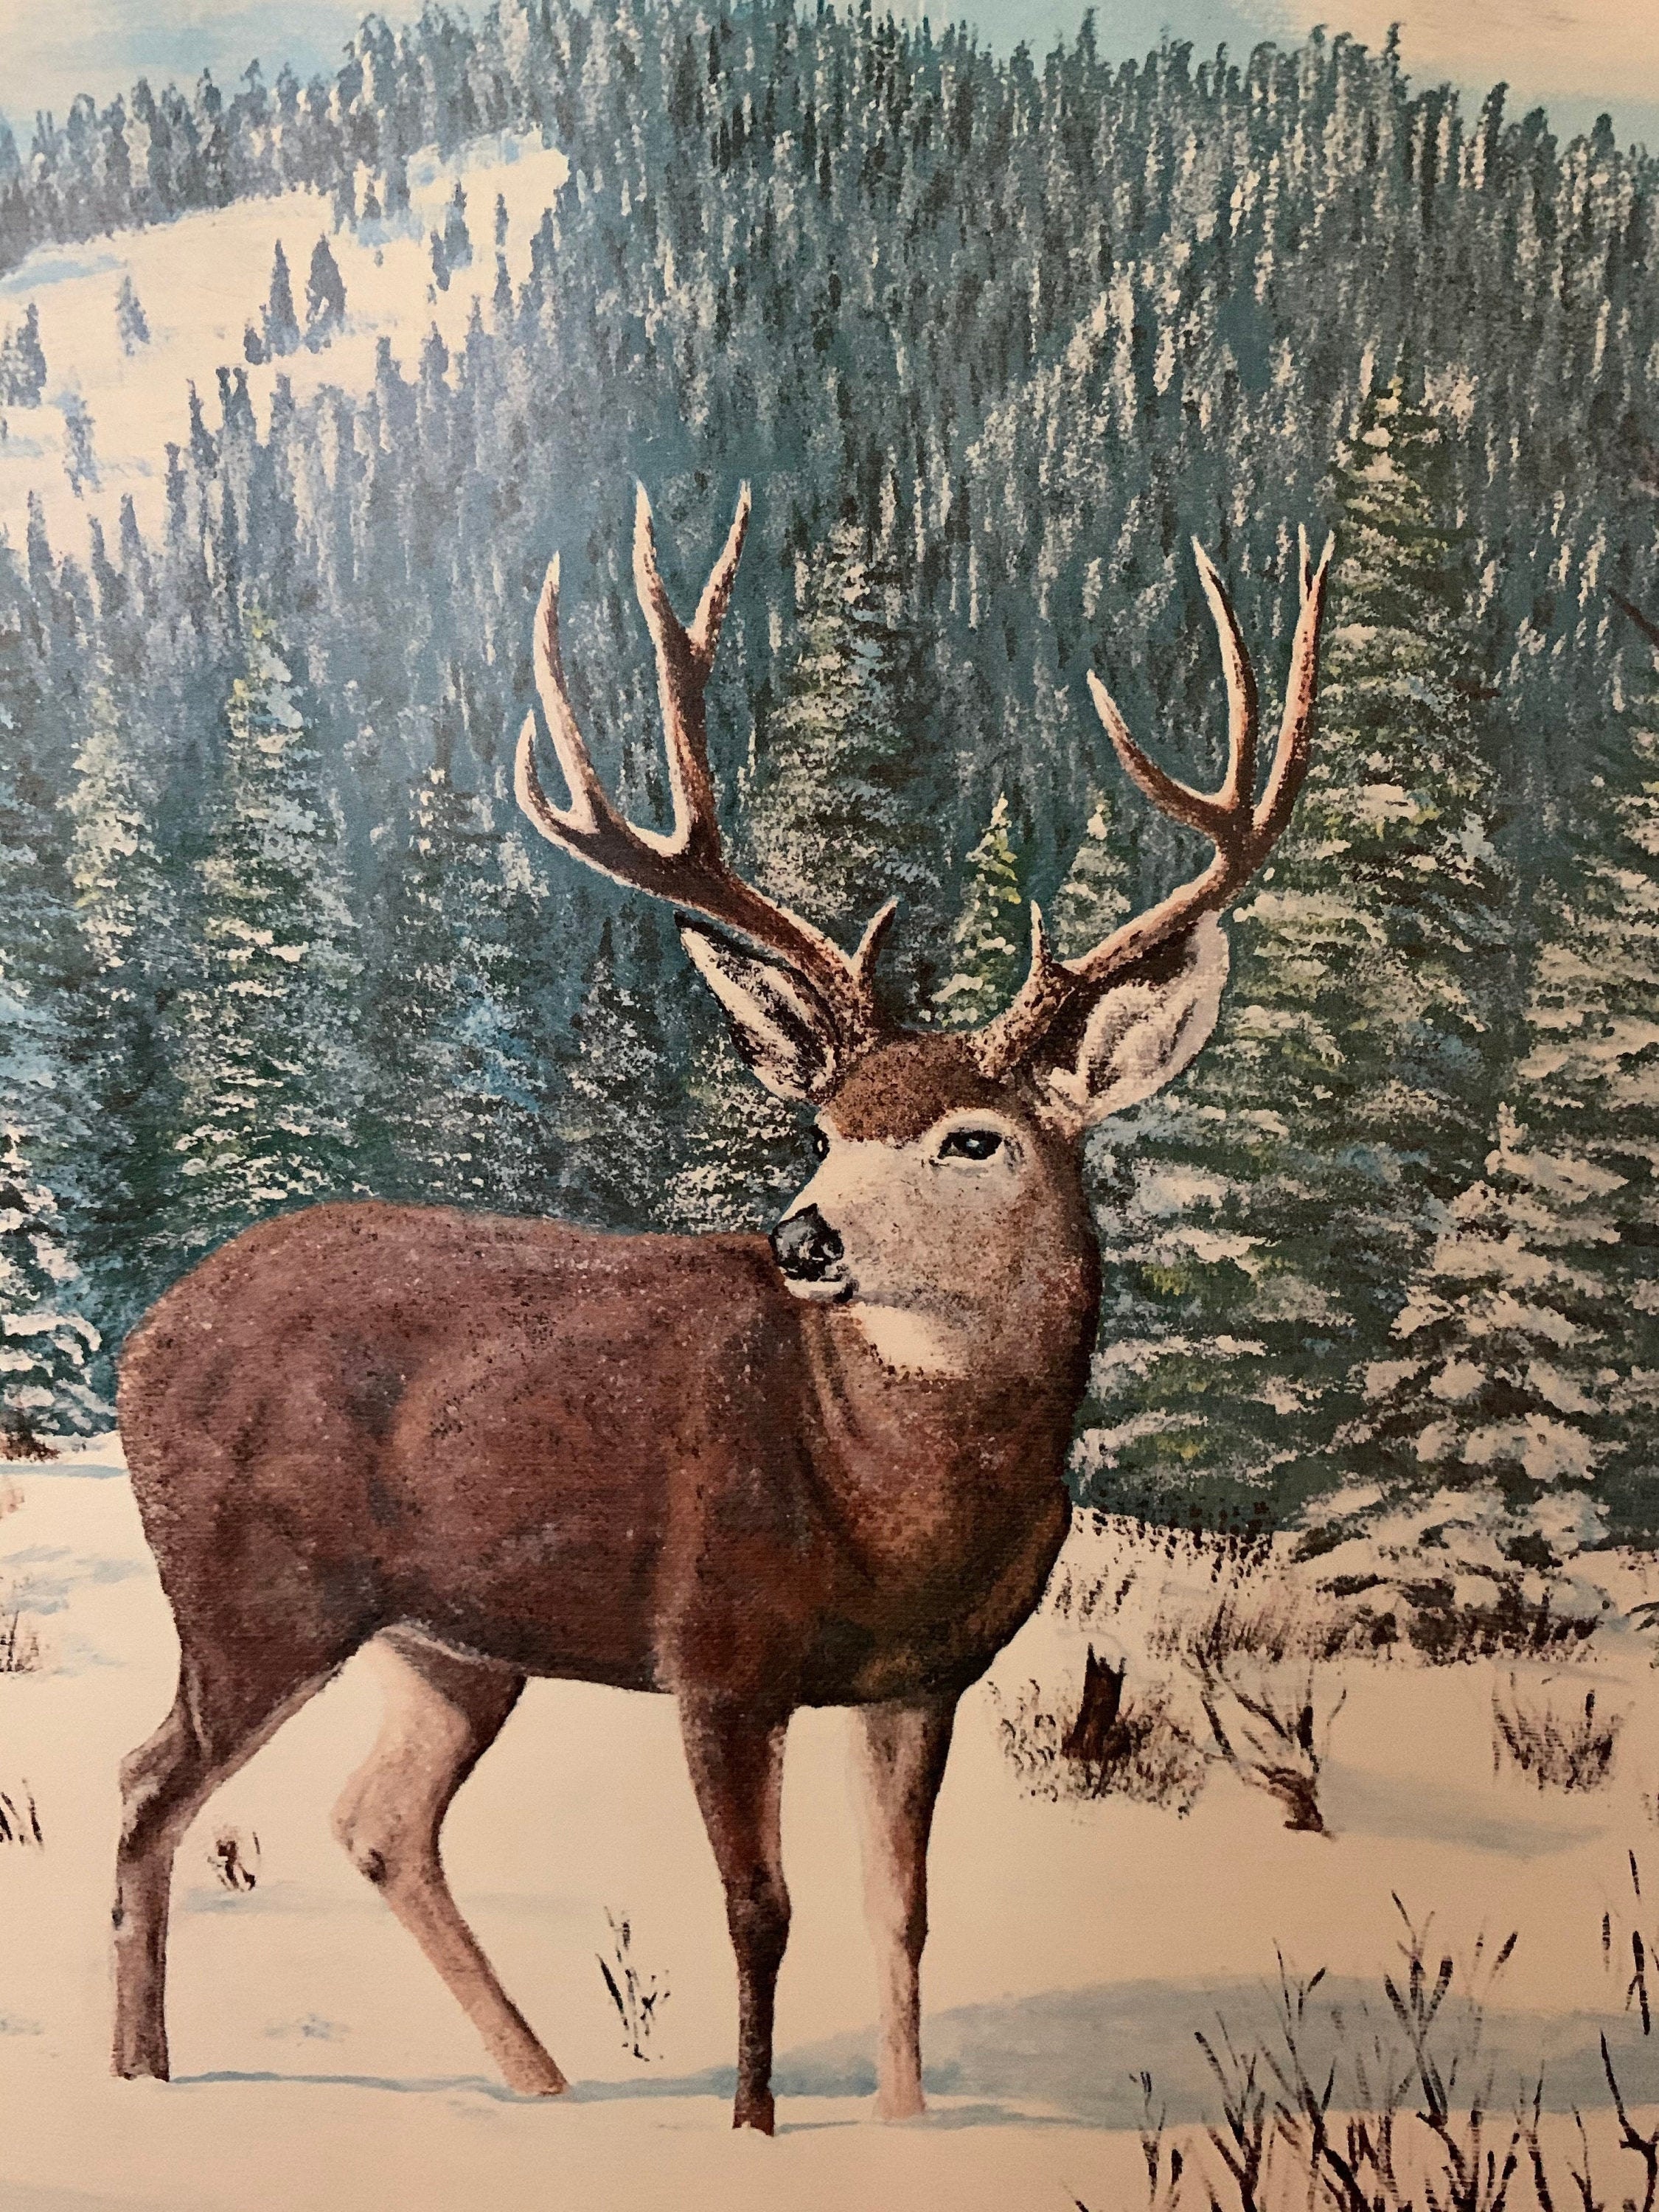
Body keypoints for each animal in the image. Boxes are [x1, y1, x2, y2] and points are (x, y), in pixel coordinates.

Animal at [112, 484, 1330, 2134]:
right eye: (822, 1122)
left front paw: (903, 2127)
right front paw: (755, 2134)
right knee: (147, 1791)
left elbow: (901, 1910)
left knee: (376, 1819)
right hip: (254, 1591)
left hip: (455, 1636)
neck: (882, 1504)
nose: (803, 1236)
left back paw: (540, 2084)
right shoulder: (713, 1649)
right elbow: (762, 1911)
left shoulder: (925, 1681)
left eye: (974, 1138)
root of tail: (146, 1333)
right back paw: (147, 2077)